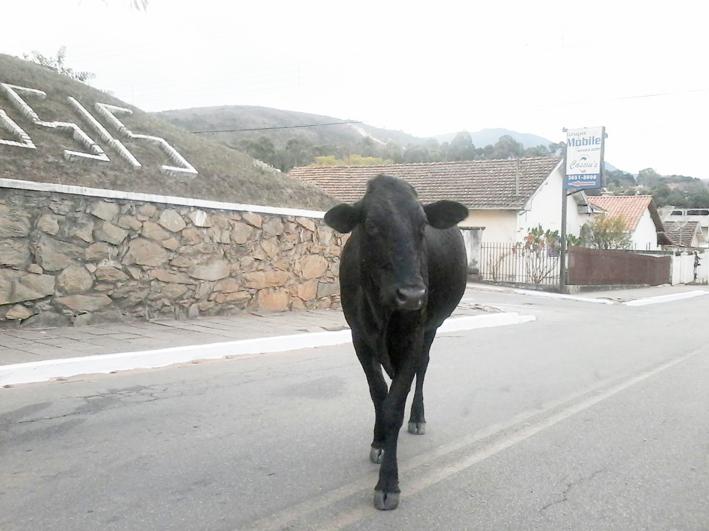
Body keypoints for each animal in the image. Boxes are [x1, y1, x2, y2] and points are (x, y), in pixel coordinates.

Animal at [324, 174, 469, 510]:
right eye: (371, 225)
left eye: (422, 225)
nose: (413, 295)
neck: (382, 307)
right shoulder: (359, 339)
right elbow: (379, 396)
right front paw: (379, 441)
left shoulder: (412, 338)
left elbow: (394, 405)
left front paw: (388, 483)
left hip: (432, 328)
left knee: (423, 369)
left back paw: (417, 417)